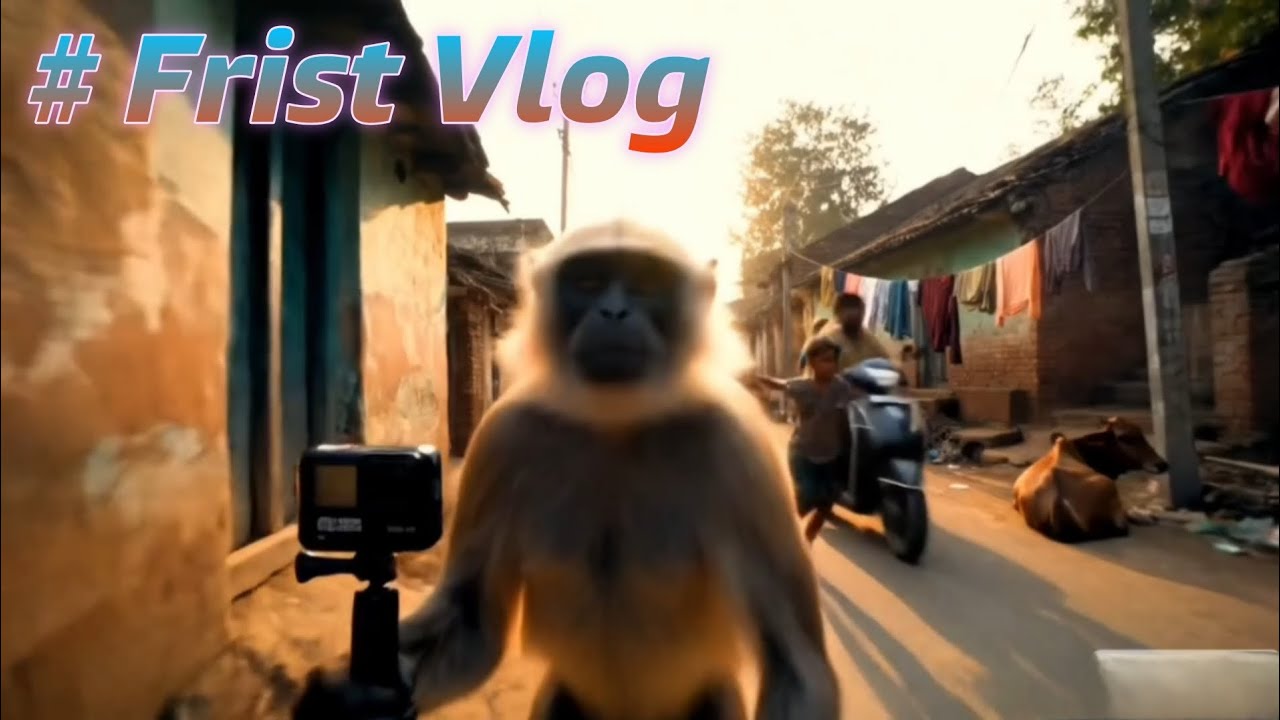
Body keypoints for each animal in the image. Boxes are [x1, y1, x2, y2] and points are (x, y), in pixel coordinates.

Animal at [293, 219, 841, 720]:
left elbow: (796, 667)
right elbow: (471, 619)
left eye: (645, 283)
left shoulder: (738, 448)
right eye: (589, 281)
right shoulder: (504, 436)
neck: (615, 422)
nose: (614, 311)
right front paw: (349, 696)